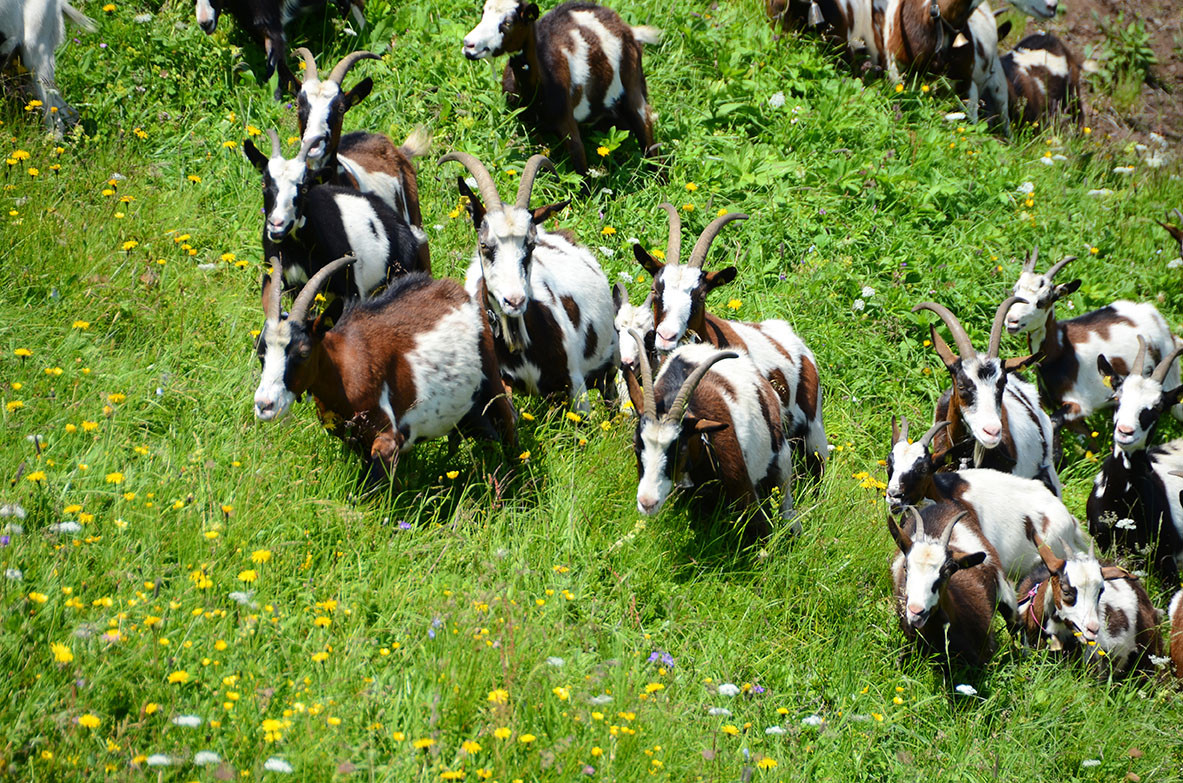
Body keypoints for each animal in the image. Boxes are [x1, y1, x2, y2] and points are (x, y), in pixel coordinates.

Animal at [252, 256, 516, 477]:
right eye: (260, 350)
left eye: (304, 352)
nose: (265, 405)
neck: (345, 366)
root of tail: (457, 292)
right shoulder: (356, 440)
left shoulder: (388, 437)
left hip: (491, 378)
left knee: (508, 423)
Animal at [461, 1, 661, 175]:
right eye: (483, 14)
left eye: (508, 22)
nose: (468, 45)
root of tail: (628, 28)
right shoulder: (527, 123)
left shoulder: (565, 119)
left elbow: (581, 169)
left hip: (632, 84)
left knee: (646, 132)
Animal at [1005, 248, 1180, 428]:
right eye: (1015, 290)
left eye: (1043, 300)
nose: (1011, 320)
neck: (1061, 350)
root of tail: (1157, 317)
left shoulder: (1079, 405)